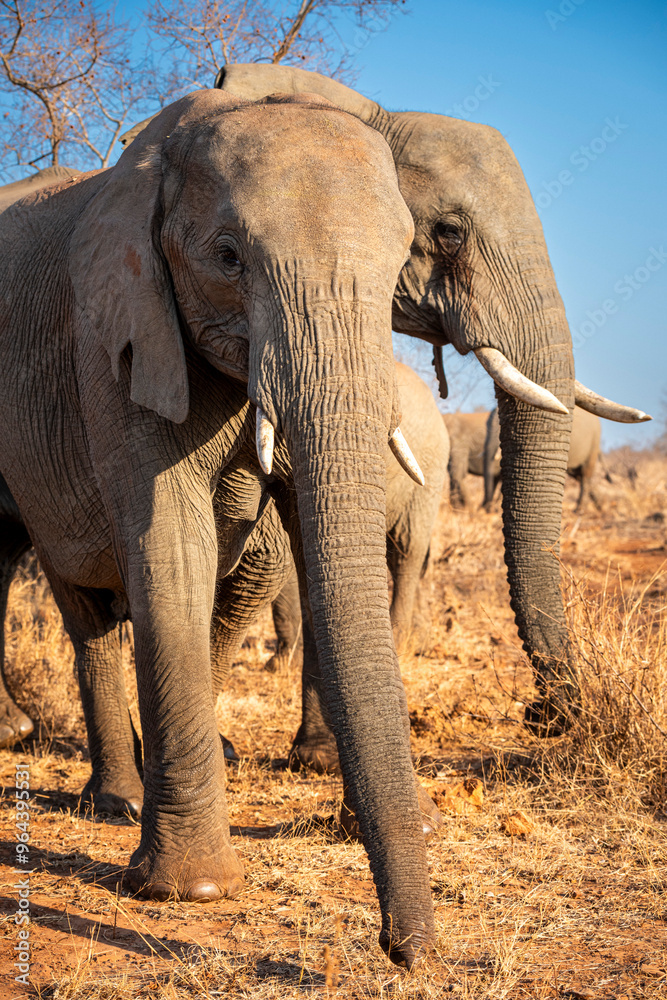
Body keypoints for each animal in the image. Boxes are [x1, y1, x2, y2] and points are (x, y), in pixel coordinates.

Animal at [0, 89, 434, 966]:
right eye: (228, 258)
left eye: (400, 268)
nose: (411, 951)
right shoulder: (120, 331)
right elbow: (170, 544)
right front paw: (187, 890)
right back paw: (96, 791)